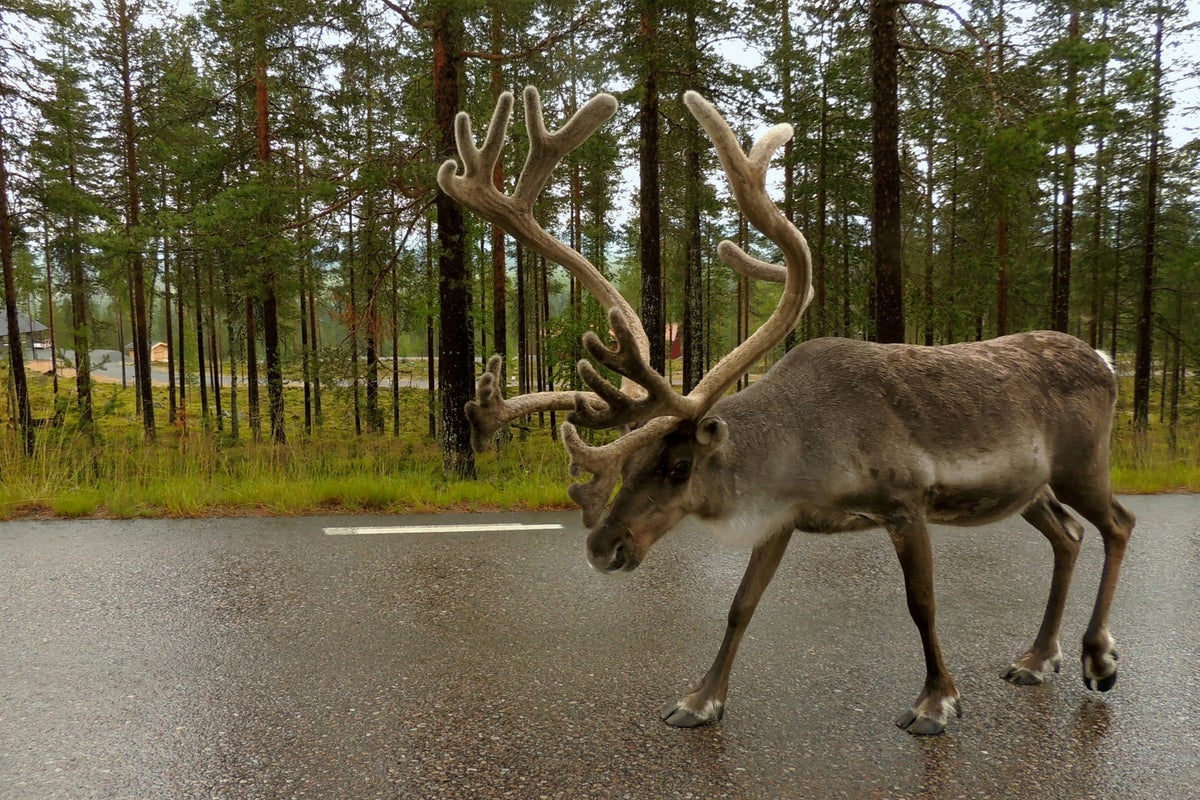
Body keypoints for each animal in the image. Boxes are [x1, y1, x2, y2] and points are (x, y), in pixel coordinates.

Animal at [436, 87, 1135, 736]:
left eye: (679, 465)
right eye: (629, 462)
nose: (602, 547)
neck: (799, 449)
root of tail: (1105, 360)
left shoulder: (906, 503)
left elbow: (922, 604)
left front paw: (936, 702)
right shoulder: (783, 517)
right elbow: (741, 604)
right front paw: (700, 700)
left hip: (1082, 464)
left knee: (1118, 525)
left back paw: (1097, 658)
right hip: (1031, 488)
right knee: (1068, 536)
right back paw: (1038, 658)